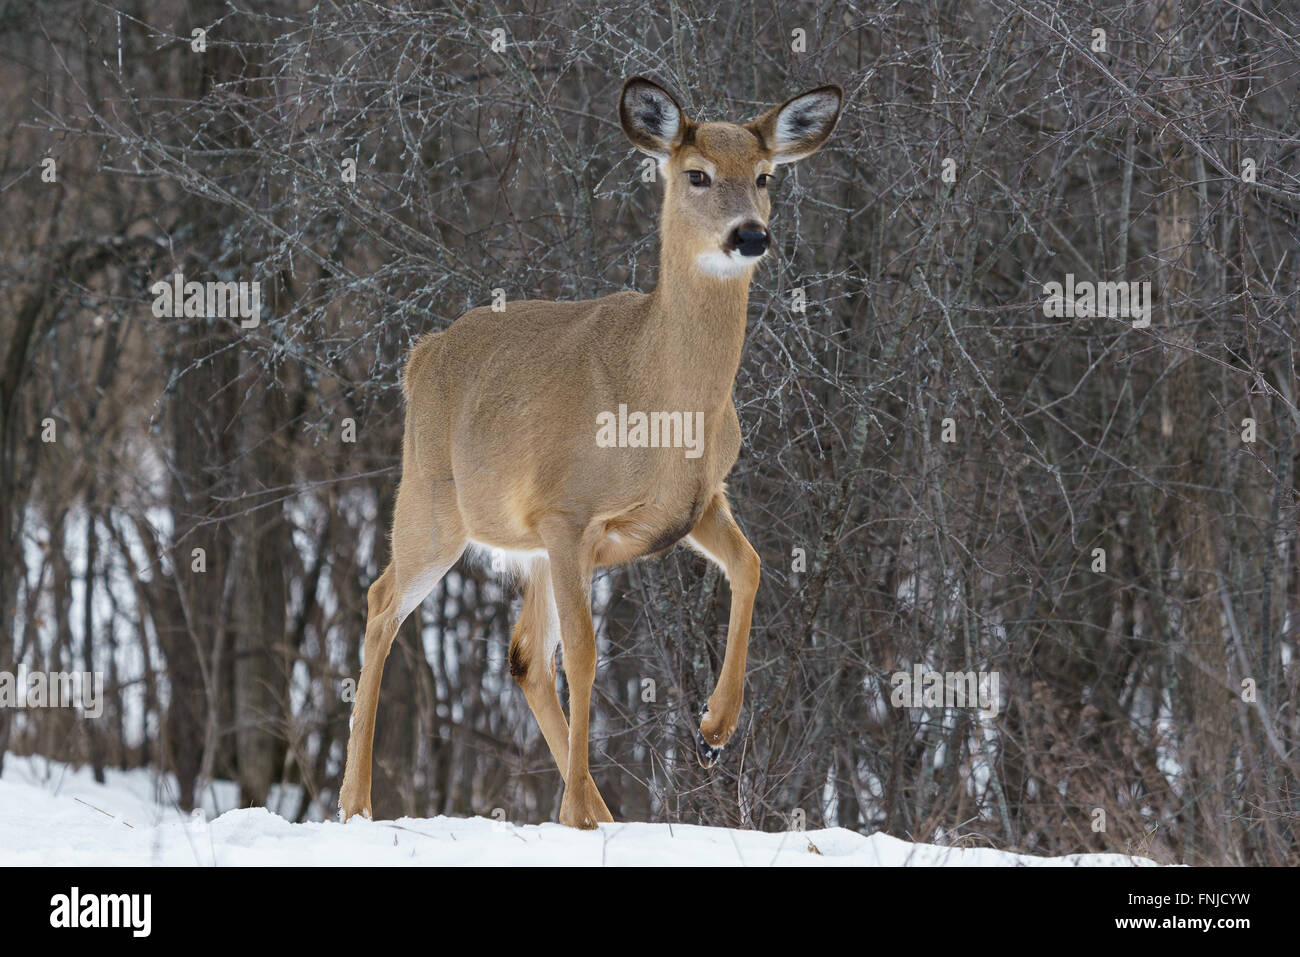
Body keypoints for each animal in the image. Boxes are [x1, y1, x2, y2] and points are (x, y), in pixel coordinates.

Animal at [339, 76, 842, 829]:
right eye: (697, 174)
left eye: (764, 176)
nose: (751, 234)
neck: (663, 406)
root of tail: (421, 355)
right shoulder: (568, 512)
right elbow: (584, 653)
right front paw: (572, 809)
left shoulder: (695, 502)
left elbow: (751, 565)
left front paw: (714, 729)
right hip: (433, 504)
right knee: (381, 603)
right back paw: (357, 801)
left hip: (528, 547)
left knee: (521, 654)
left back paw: (604, 809)